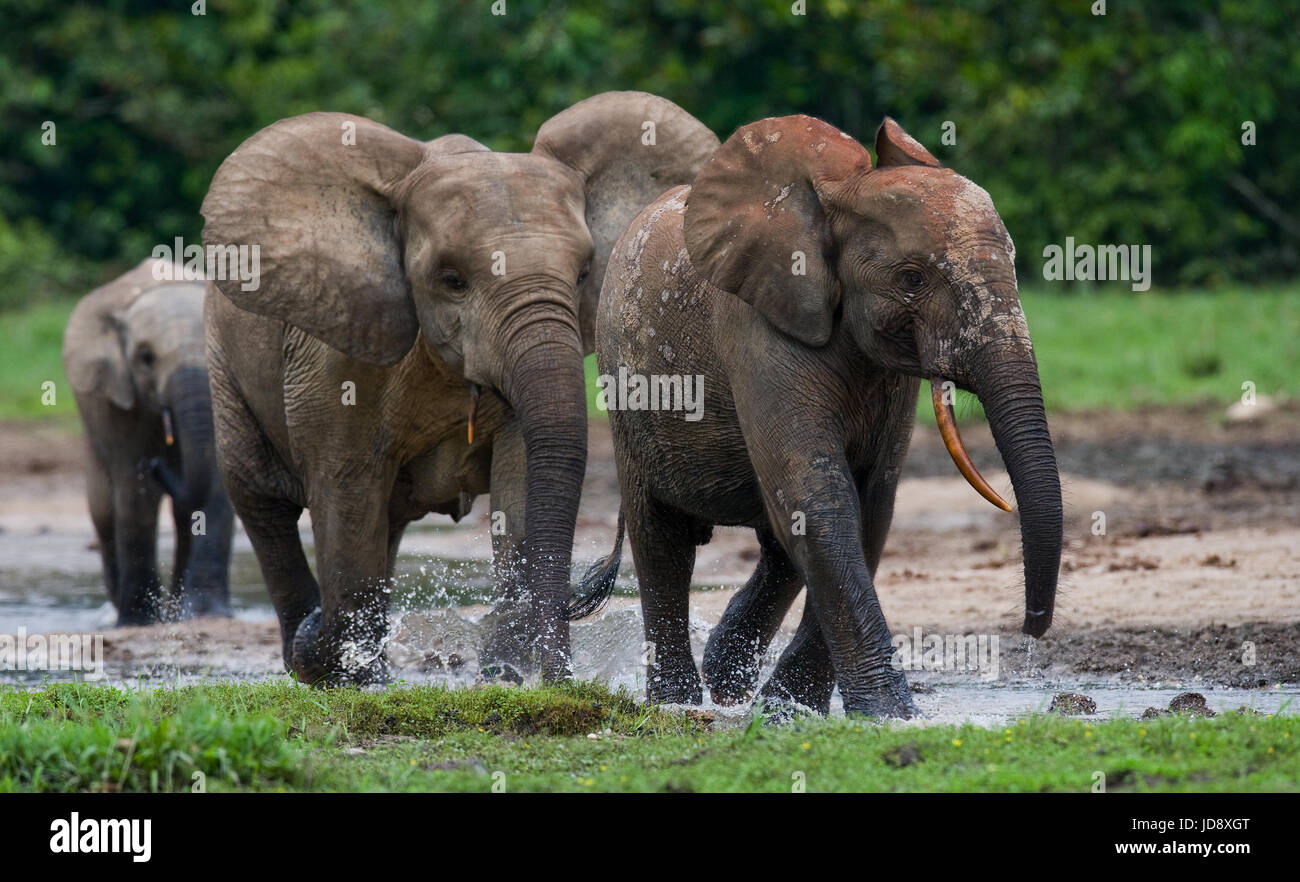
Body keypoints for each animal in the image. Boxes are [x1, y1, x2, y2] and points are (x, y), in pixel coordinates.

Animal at [63, 258, 235, 625]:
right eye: (146, 359)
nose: (157, 464)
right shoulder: (118, 399)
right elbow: (135, 492)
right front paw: (139, 620)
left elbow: (218, 487)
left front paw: (207, 615)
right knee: (104, 508)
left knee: (184, 515)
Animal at [201, 92, 719, 686]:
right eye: (451, 280)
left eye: (585, 273)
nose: (562, 674)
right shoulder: (332, 354)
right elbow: (345, 492)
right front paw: (345, 672)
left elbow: (521, 486)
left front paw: (506, 675)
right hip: (224, 362)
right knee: (263, 500)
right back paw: (316, 655)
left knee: (383, 526)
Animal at [587, 115, 1062, 718]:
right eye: (911, 279)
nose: (1032, 627)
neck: (841, 198)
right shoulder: (756, 325)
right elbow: (820, 498)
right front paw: (888, 714)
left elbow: (870, 506)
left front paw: (791, 709)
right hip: (626, 392)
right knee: (661, 538)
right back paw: (681, 702)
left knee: (774, 539)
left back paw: (728, 681)